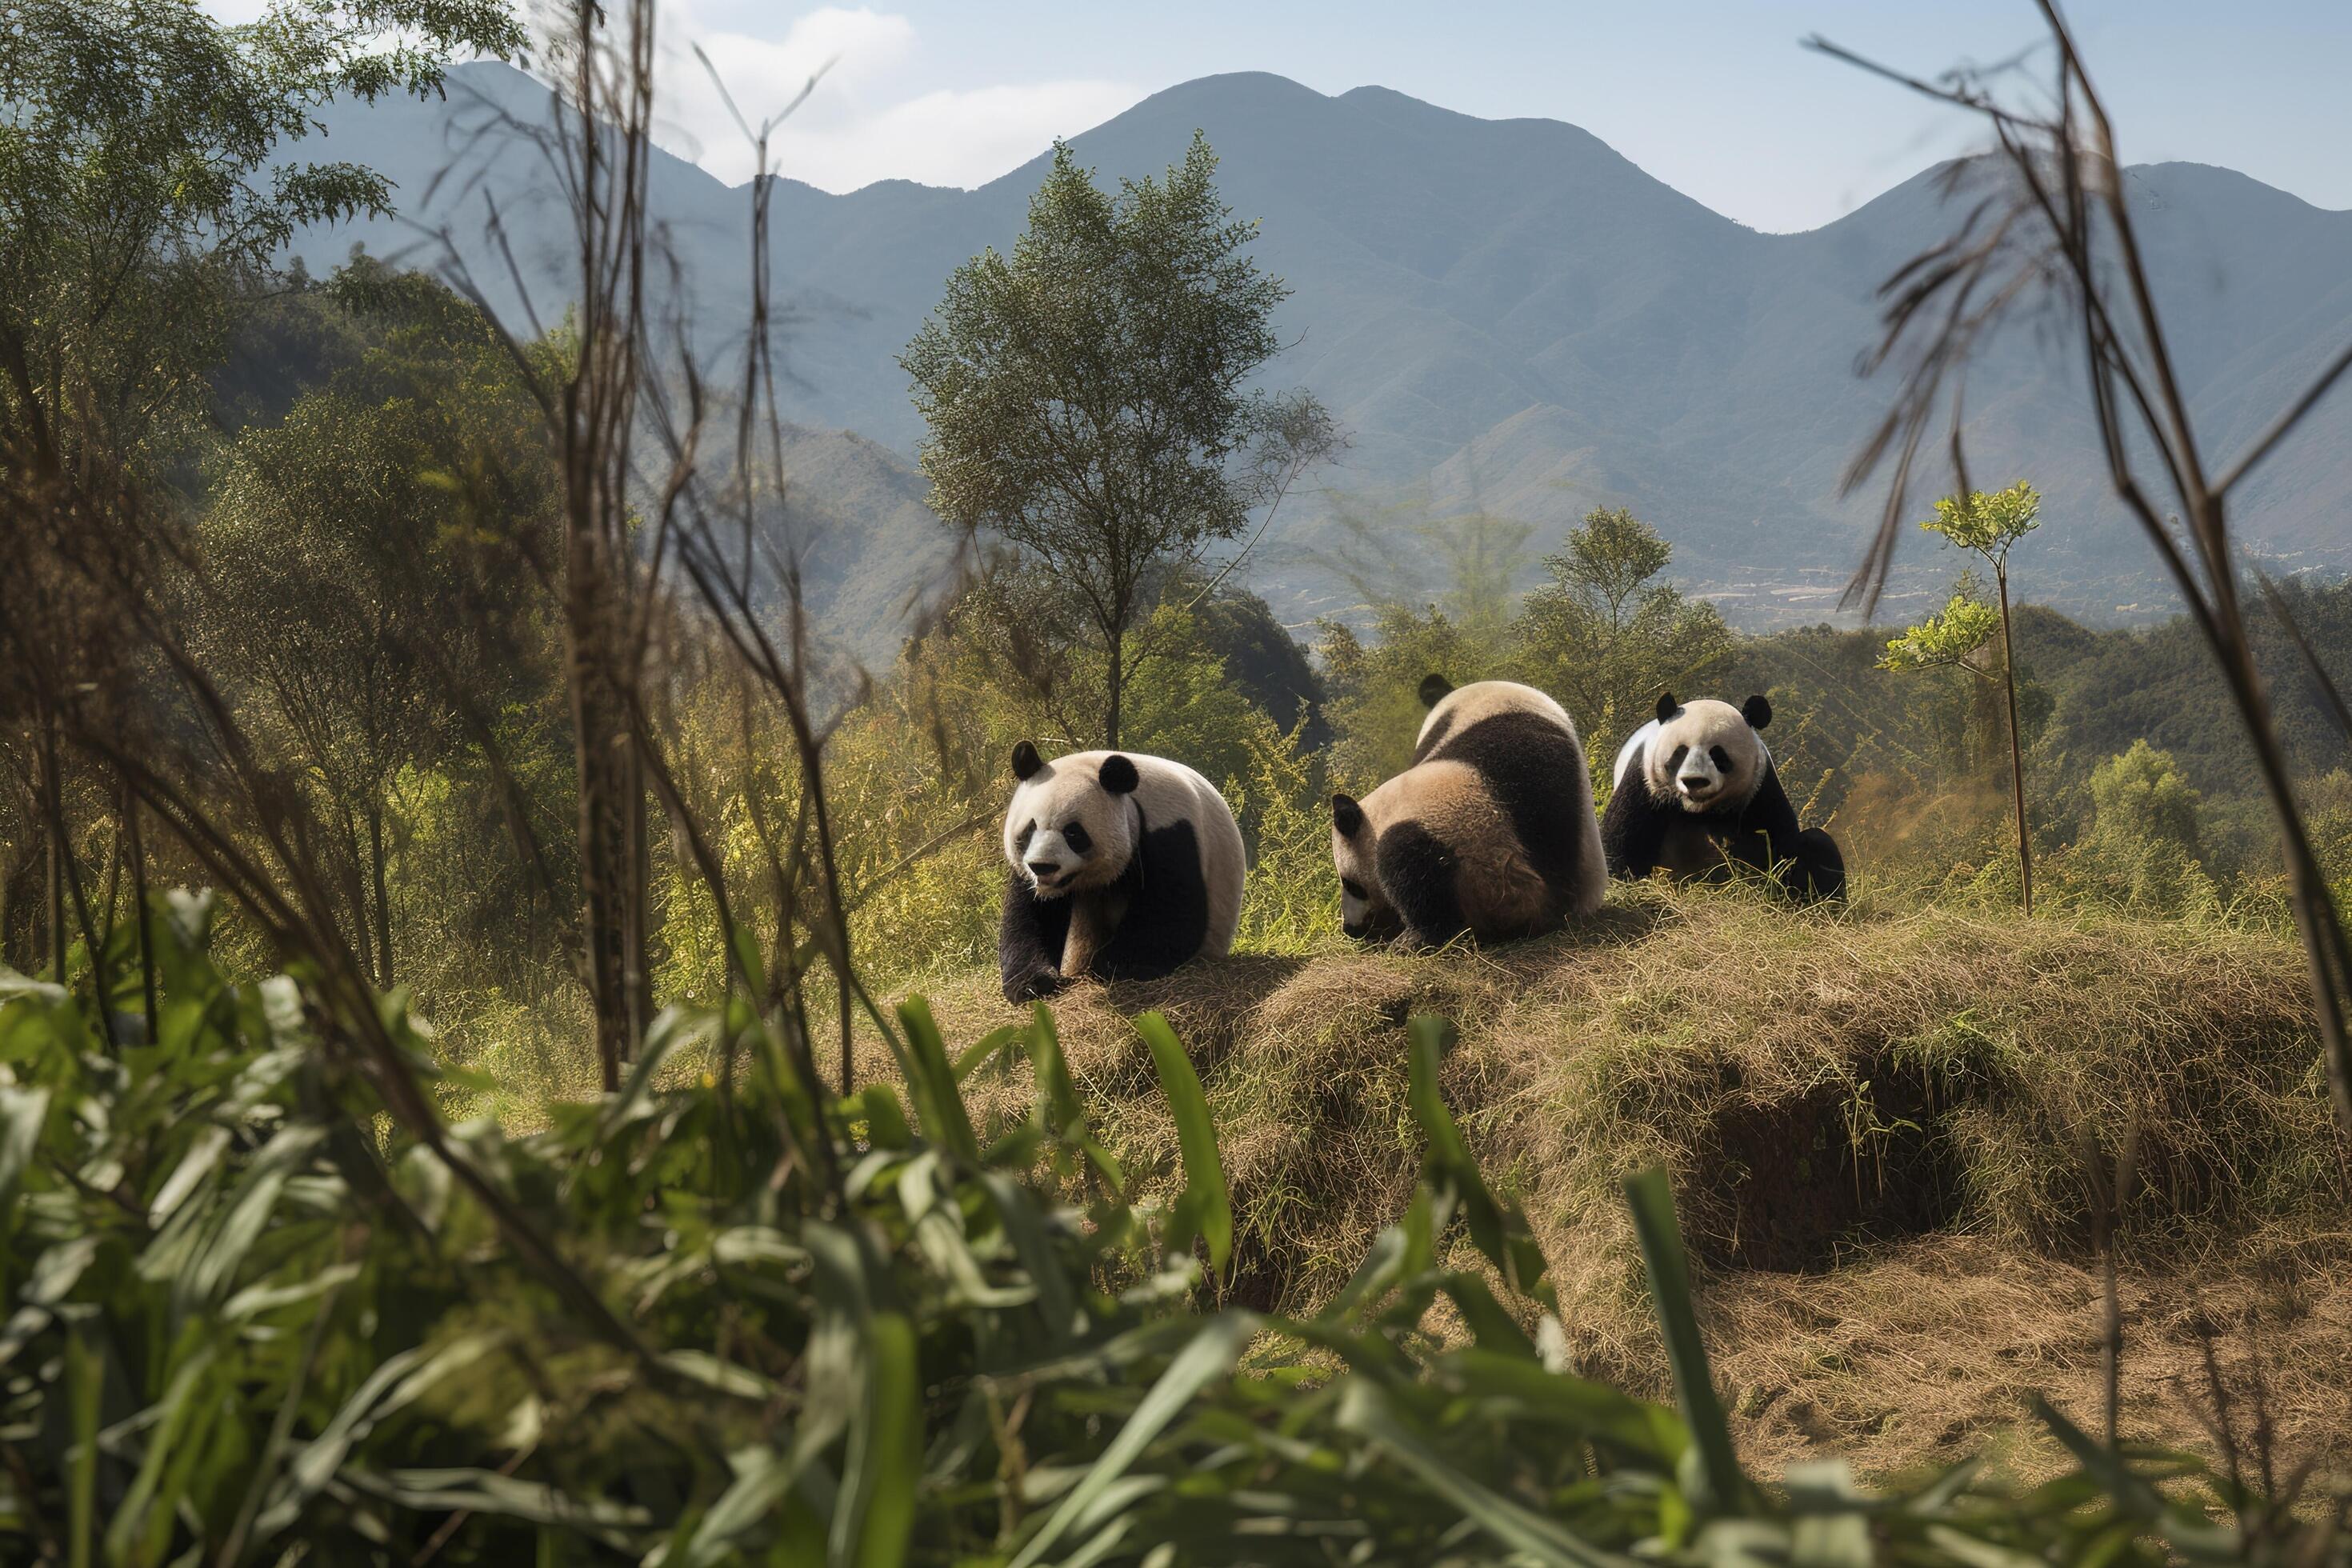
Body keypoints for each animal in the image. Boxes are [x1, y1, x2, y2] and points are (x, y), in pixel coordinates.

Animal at [997, 742, 1246, 1003]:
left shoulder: (1171, 833)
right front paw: (1033, 983)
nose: (1043, 866)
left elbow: (1170, 917)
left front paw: (1113, 964)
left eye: (1073, 833)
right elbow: (1031, 916)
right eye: (1030, 828)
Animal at [1600, 692, 1846, 902]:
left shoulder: (1759, 791)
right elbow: (1621, 841)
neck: (1697, 811)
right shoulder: (1645, 783)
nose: (1694, 781)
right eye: (1680, 752)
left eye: (1718, 755)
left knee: (1819, 843)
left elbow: (1782, 849)